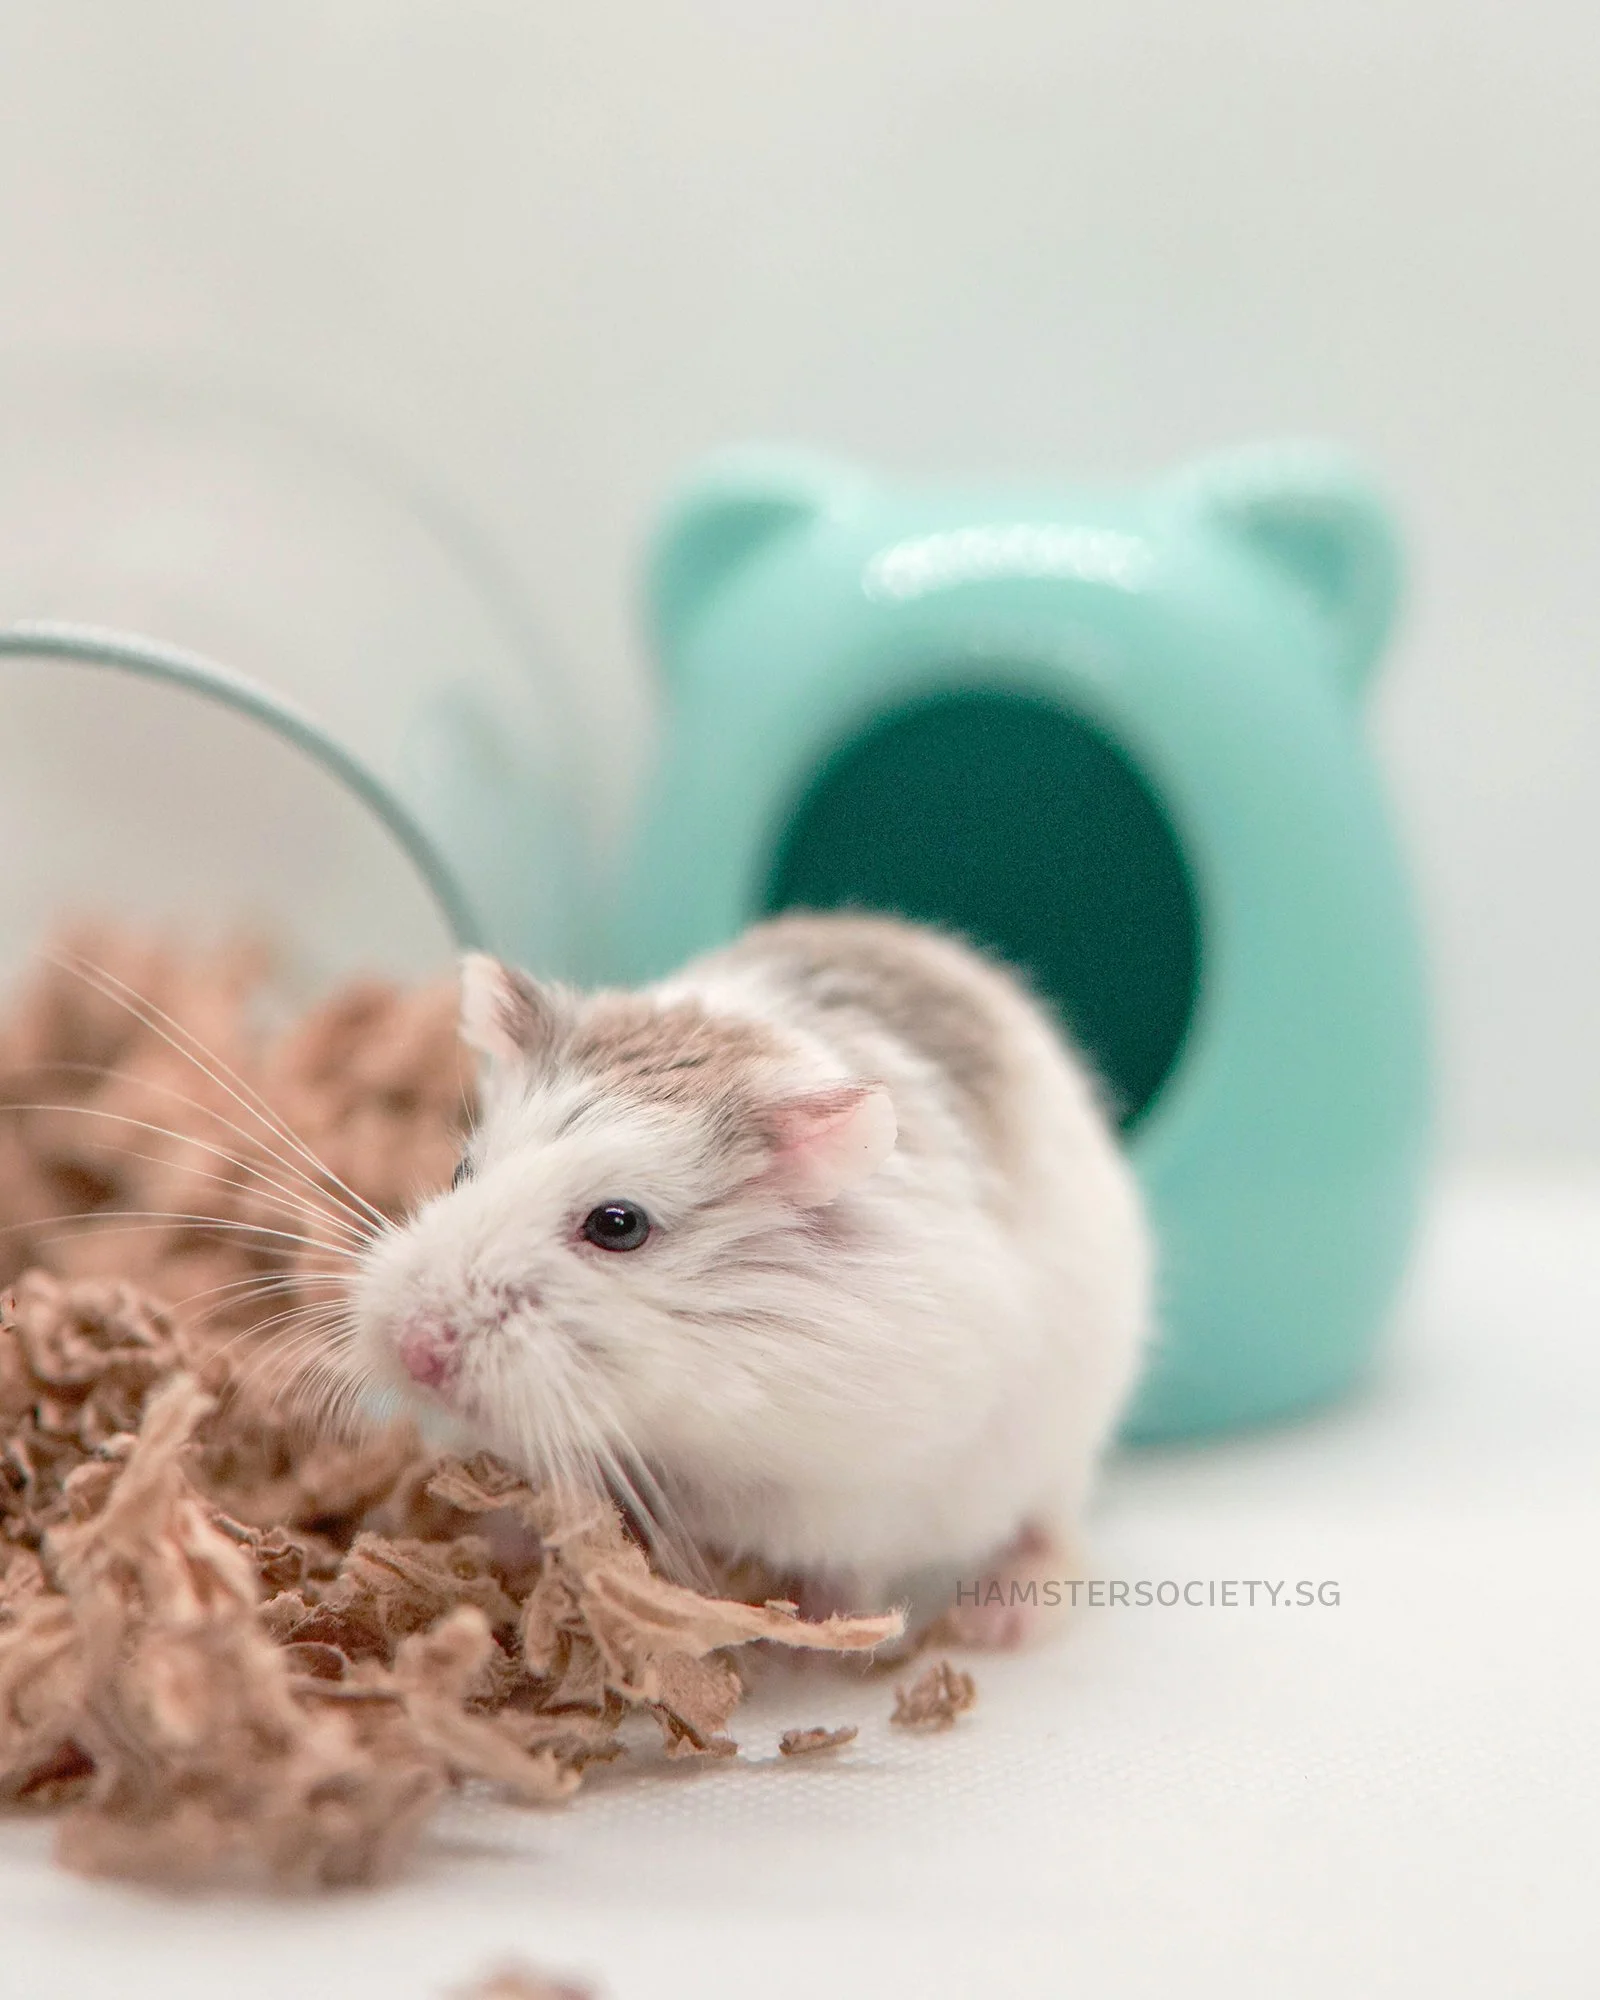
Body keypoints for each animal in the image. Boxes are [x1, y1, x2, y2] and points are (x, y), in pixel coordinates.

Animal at [346, 911, 1153, 1641]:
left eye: (618, 1225)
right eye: (461, 1170)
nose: (416, 1352)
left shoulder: (868, 1486)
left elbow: (849, 1562)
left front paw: (821, 1625)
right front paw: (505, 1544)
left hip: (1065, 1443)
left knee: (1051, 1523)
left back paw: (1001, 1620)